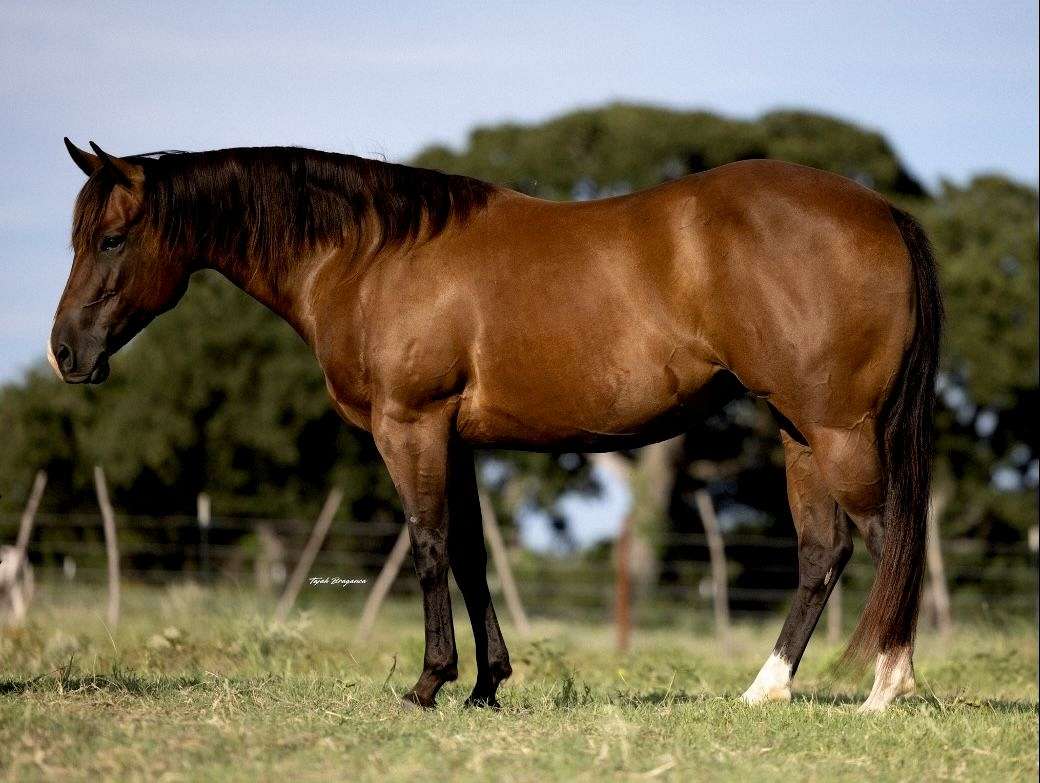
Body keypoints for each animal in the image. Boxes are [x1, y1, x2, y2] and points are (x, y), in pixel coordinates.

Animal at [51, 139, 941, 712]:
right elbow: (472, 554)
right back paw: (766, 688)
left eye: (113, 237)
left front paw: (428, 683)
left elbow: (429, 546)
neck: (371, 256)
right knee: (824, 552)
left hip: (838, 430)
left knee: (890, 538)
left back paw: (885, 690)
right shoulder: (457, 439)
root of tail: (882, 211)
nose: (65, 352)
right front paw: (486, 684)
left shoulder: (409, 426)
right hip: (799, 433)